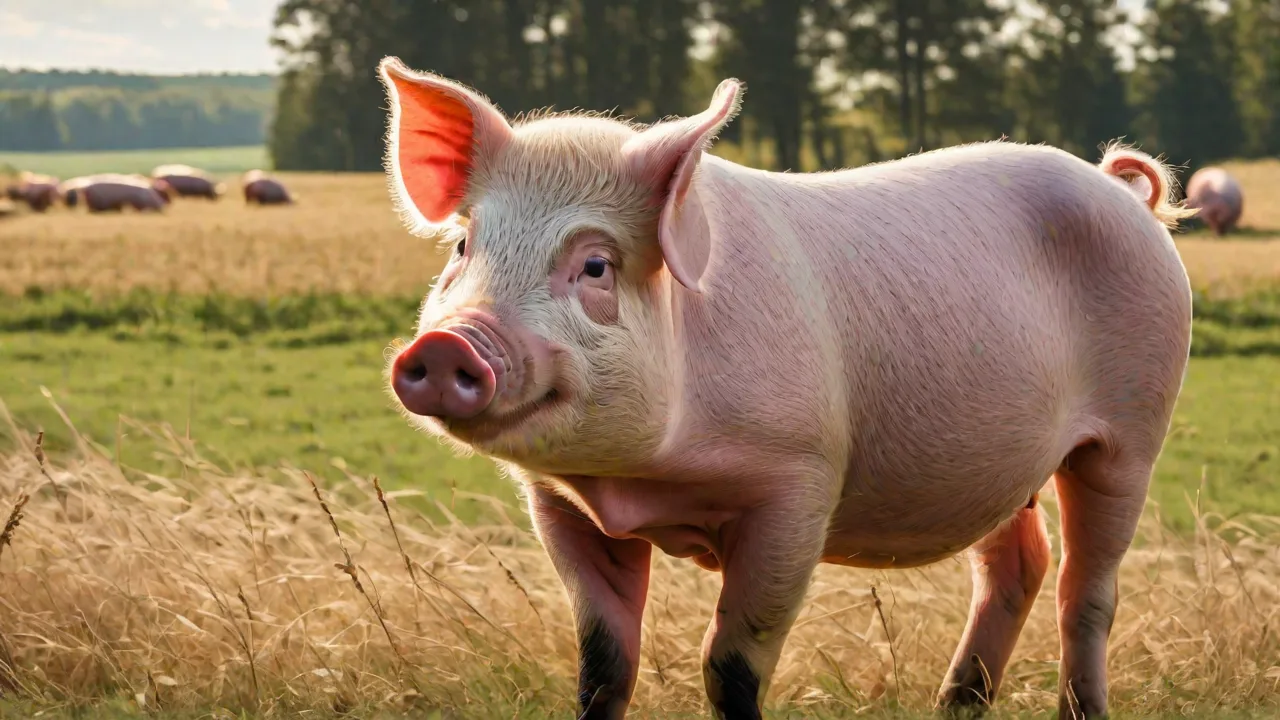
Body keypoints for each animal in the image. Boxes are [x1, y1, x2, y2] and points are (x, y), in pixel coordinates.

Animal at [376, 56, 1195, 720]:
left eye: (596, 265)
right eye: (464, 246)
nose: (449, 343)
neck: (639, 483)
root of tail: (1123, 192)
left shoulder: (799, 483)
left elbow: (731, 665)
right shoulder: (562, 506)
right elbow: (604, 666)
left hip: (1133, 428)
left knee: (1087, 589)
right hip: (996, 461)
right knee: (1017, 565)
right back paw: (953, 704)